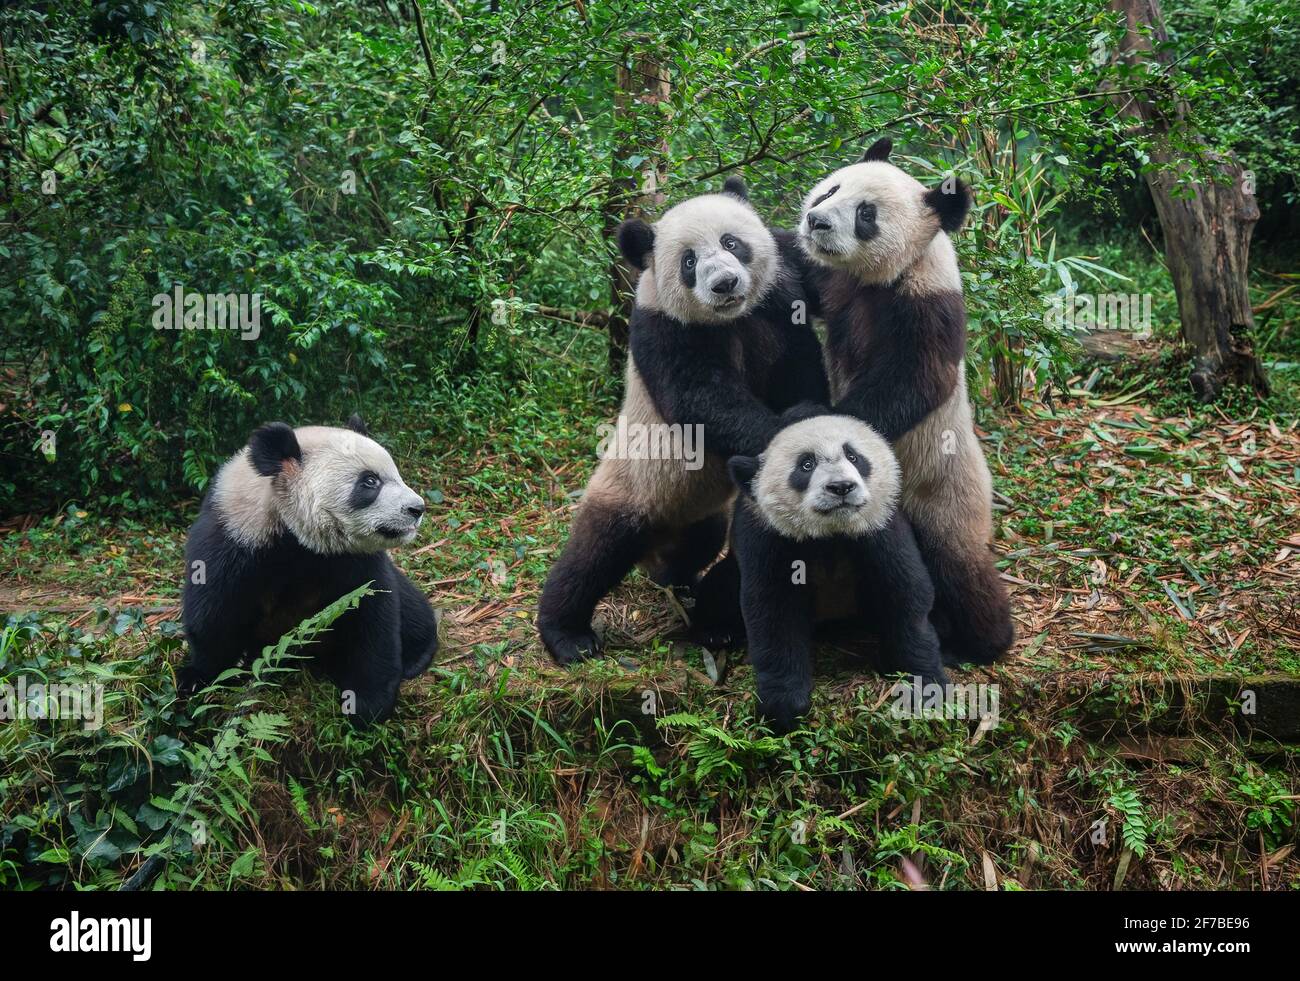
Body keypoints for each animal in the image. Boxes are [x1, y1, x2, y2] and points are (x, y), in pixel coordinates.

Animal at [179, 415, 438, 725]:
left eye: (396, 474)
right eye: (370, 481)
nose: (416, 508)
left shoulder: (355, 560)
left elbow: (373, 618)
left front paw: (365, 704)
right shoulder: (235, 540)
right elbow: (214, 613)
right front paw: (200, 679)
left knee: (413, 612)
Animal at [538, 179, 830, 665]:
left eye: (731, 243)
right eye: (689, 261)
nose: (725, 283)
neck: (731, 318)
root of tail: (656, 540)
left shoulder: (779, 293)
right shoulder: (663, 327)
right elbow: (699, 402)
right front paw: (791, 430)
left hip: (696, 510)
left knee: (700, 543)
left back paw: (684, 587)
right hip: (629, 489)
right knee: (593, 556)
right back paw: (567, 634)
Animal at [727, 414, 947, 733]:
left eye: (854, 456)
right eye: (806, 464)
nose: (841, 487)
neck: (830, 533)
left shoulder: (880, 528)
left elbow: (907, 596)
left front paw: (926, 686)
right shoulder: (770, 539)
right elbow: (772, 611)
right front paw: (783, 706)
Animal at [794, 138, 1014, 667]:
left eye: (866, 214)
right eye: (831, 189)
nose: (817, 221)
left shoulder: (926, 307)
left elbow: (916, 383)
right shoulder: (834, 284)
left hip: (942, 491)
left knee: (957, 565)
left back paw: (982, 641)